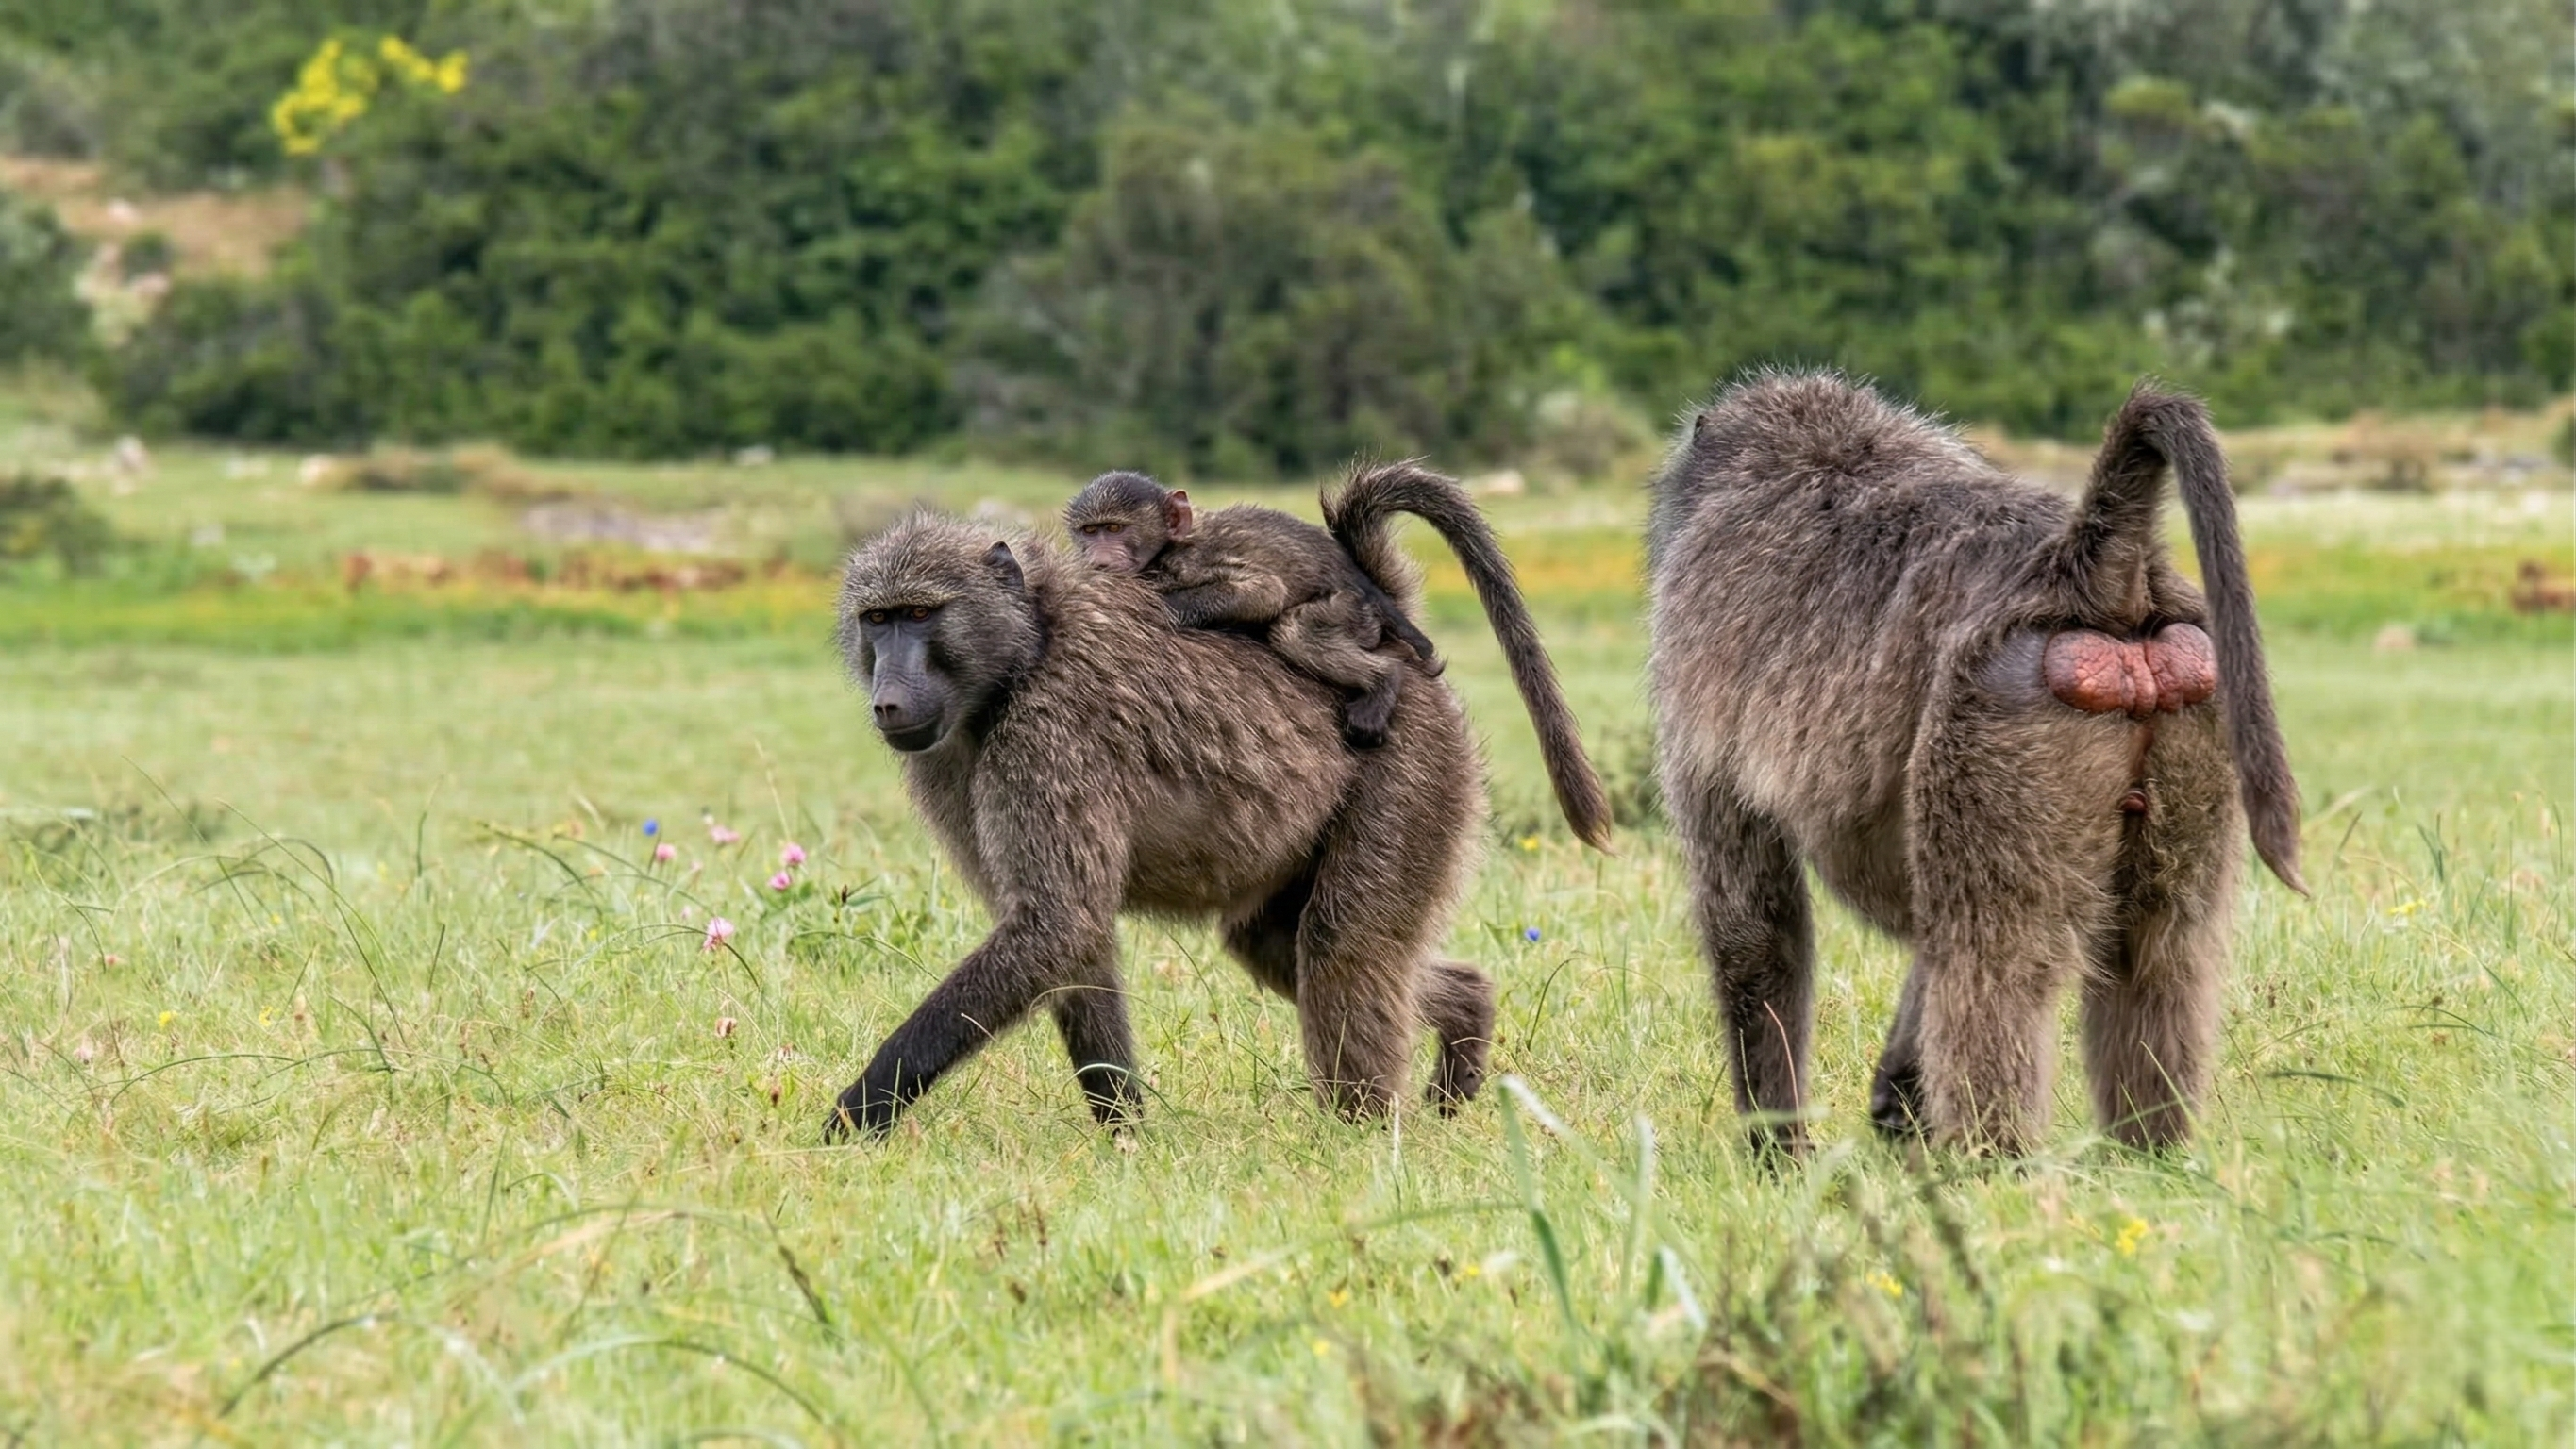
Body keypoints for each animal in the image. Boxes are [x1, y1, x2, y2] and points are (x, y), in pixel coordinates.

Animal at [1063, 470, 1442, 749]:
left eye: (1115, 528)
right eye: (1090, 531)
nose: (1098, 561)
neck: (1167, 548)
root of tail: (1375, 593)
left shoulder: (1191, 562)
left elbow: (1265, 593)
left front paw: (1156, 607)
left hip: (1352, 612)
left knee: (1293, 631)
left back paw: (1384, 680)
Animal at [1646, 371, 2302, 1157]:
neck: (1825, 449)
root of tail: (2091, 569)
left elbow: (1755, 930)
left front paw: (1777, 1155)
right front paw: (1892, 1101)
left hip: (1995, 723)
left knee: (1991, 966)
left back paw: (1991, 1163)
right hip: (2198, 708)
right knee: (2162, 954)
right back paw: (2150, 1156)